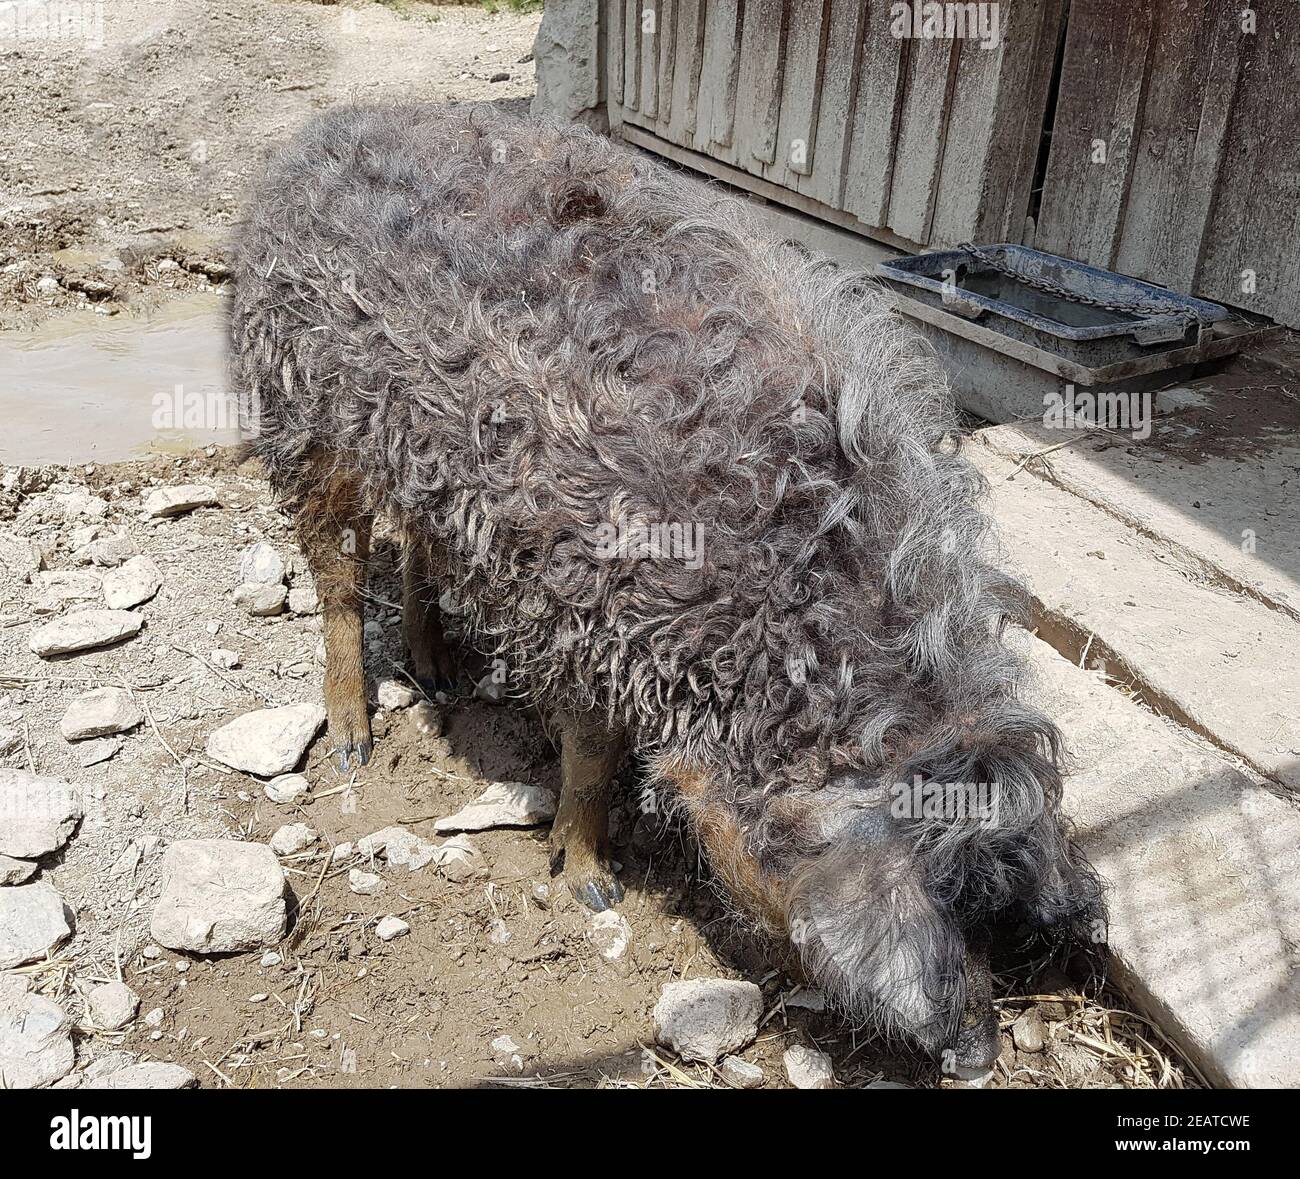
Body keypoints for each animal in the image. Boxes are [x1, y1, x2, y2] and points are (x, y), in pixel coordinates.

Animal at [230, 103, 1105, 1075]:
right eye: (946, 888)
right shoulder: (581, 607)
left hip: (421, 453)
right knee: (338, 574)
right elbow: (588, 757)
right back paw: (352, 742)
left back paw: (440, 673)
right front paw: (593, 888)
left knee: (420, 544)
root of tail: (319, 133)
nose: (980, 1052)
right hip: (300, 404)